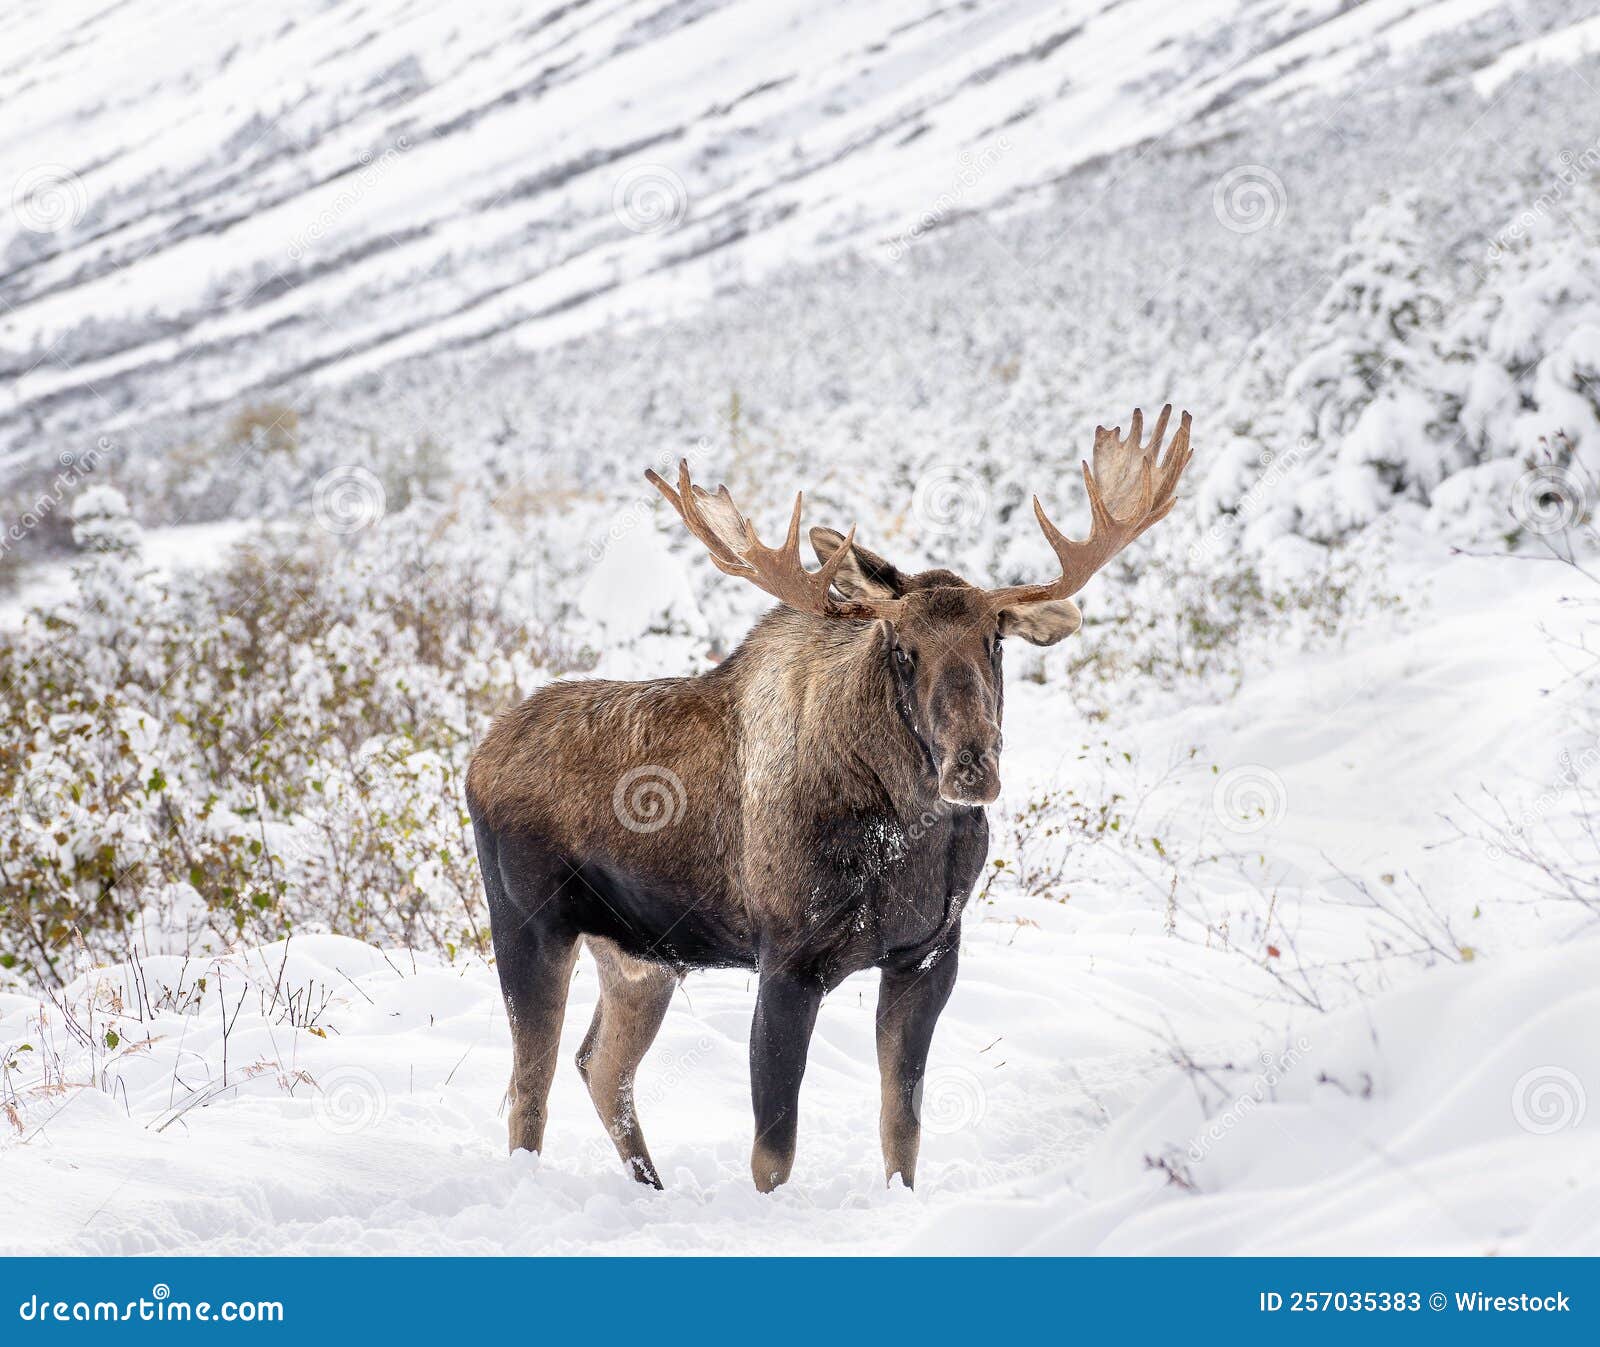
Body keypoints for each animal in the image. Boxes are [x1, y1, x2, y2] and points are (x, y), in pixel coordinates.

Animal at [465, 405, 1194, 1192]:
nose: (971, 765)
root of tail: (478, 757)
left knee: (600, 1067)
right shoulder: (787, 961)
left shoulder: (928, 954)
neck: (910, 837)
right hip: (528, 925)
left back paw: (652, 1189)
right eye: (901, 646)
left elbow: (901, 1127)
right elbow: (773, 1152)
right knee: (528, 1093)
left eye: (995, 640)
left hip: (639, 958)